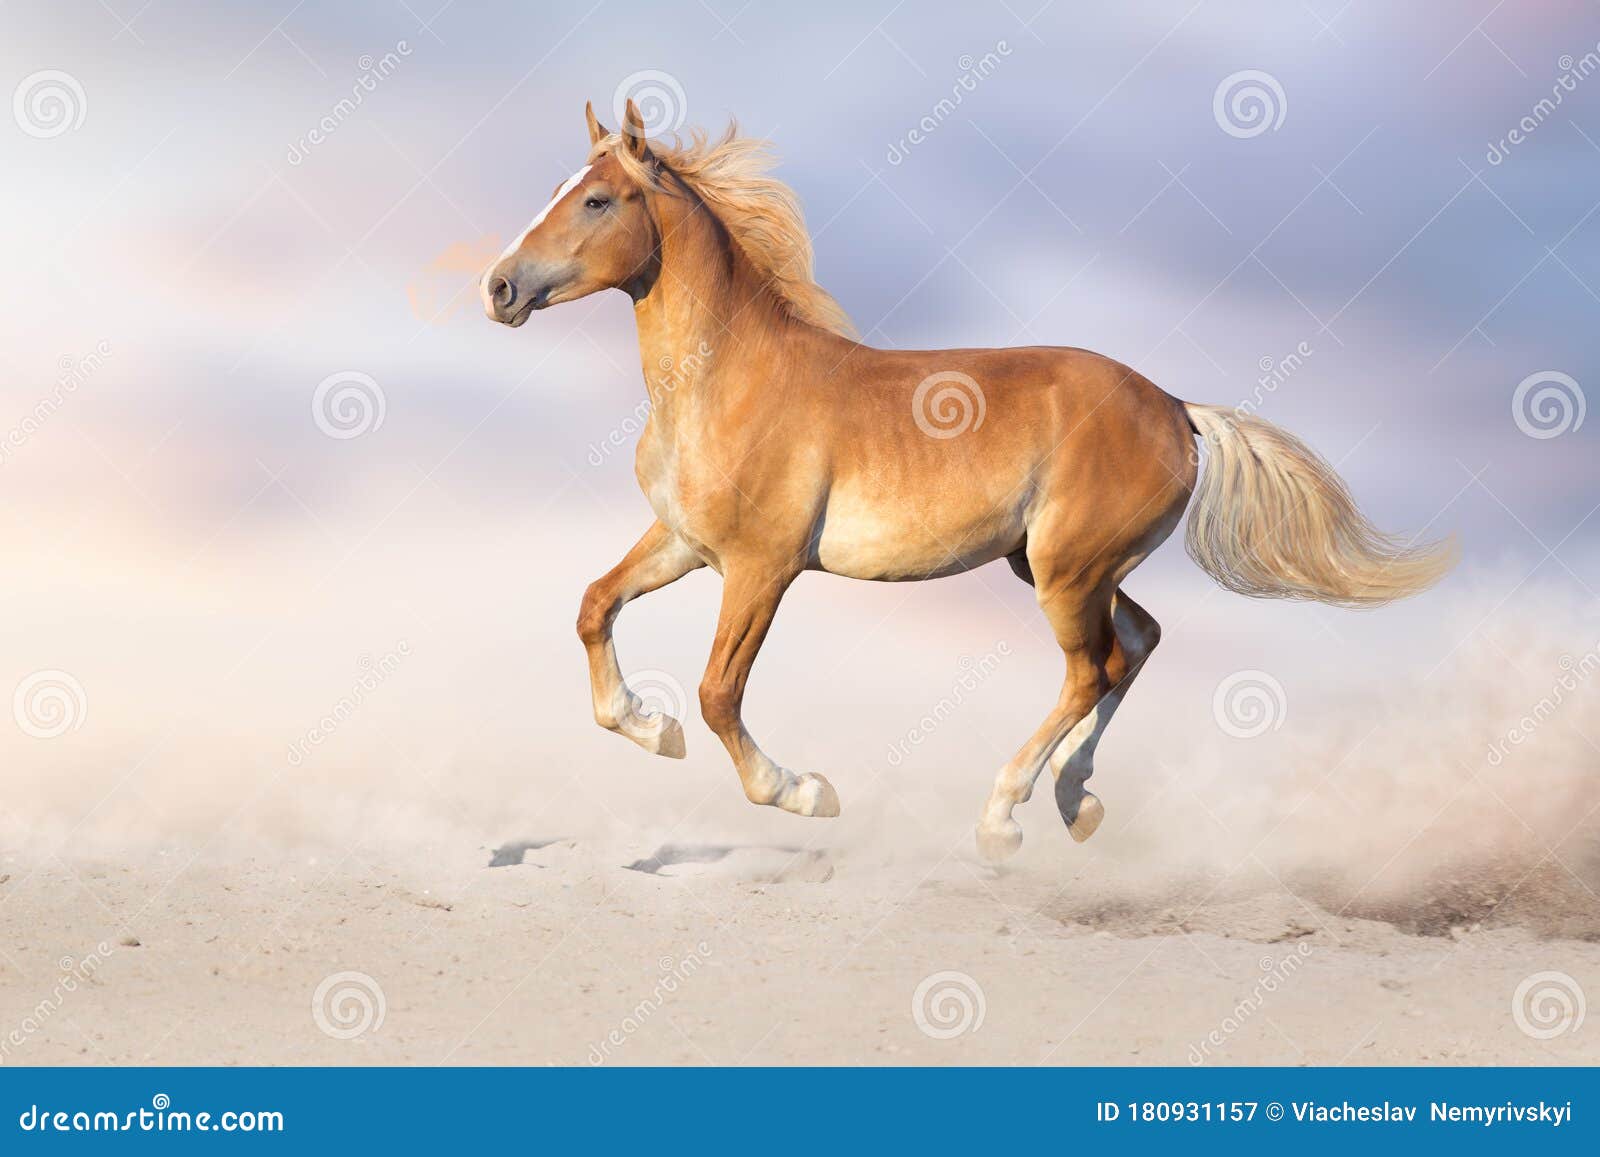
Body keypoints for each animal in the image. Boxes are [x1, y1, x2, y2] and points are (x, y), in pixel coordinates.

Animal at [479, 100, 1454, 862]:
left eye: (597, 198)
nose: (499, 288)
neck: (727, 379)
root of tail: (1178, 407)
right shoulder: (686, 543)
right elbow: (594, 606)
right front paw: (651, 726)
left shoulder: (762, 567)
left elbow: (721, 694)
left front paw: (805, 789)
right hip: (1063, 567)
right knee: (1137, 642)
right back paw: (1074, 802)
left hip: (1066, 573)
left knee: (1094, 667)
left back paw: (1004, 819)